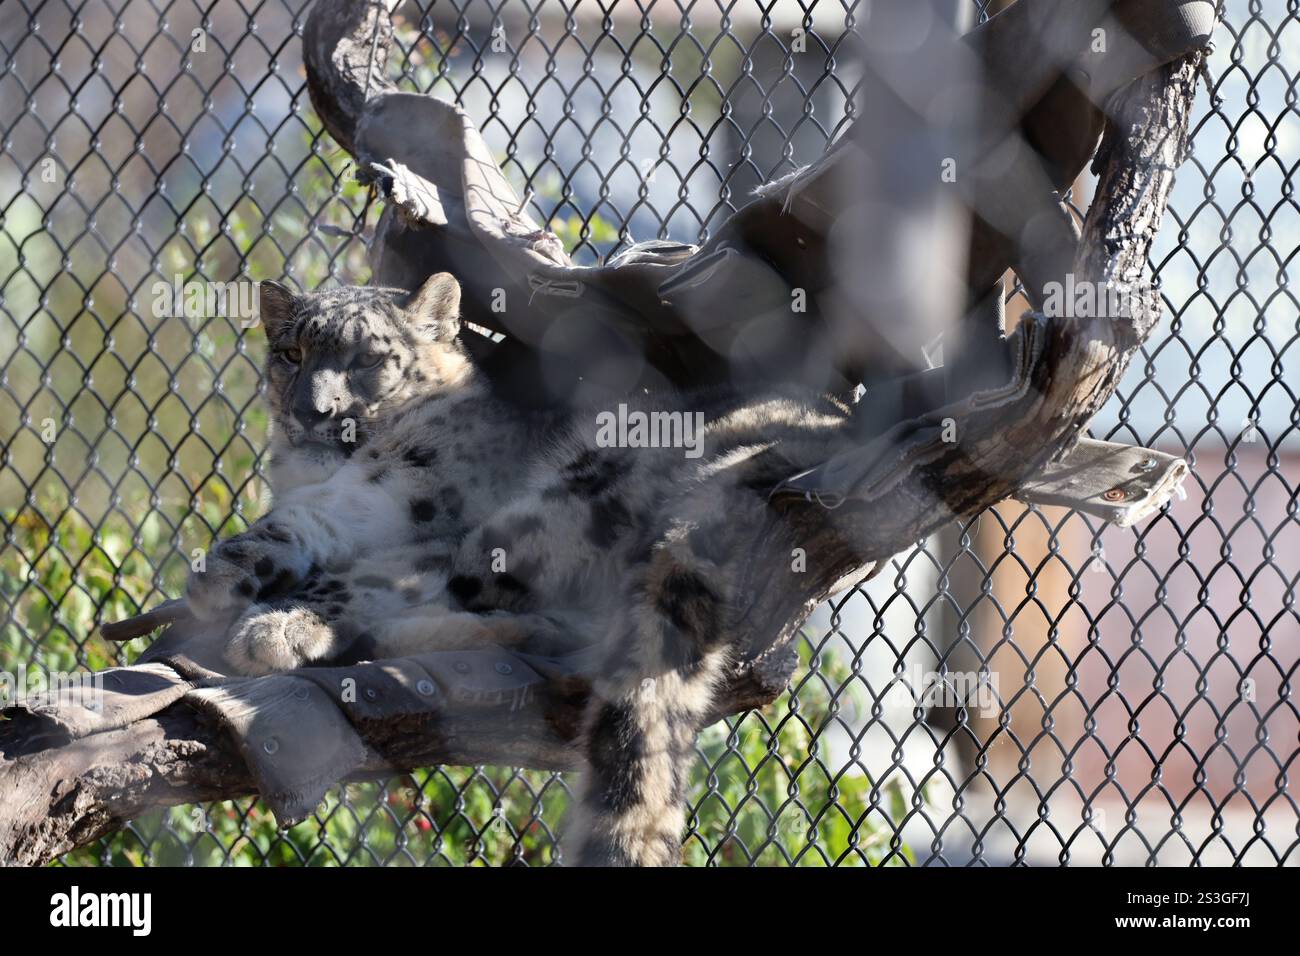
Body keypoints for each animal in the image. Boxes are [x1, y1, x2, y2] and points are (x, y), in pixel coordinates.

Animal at [185, 272, 867, 865]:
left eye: (366, 360)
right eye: (291, 352)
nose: (312, 411)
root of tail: (826, 421)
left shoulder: (436, 524)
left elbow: (357, 574)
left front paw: (272, 624)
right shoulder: (333, 510)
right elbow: (292, 527)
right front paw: (221, 572)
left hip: (554, 502)